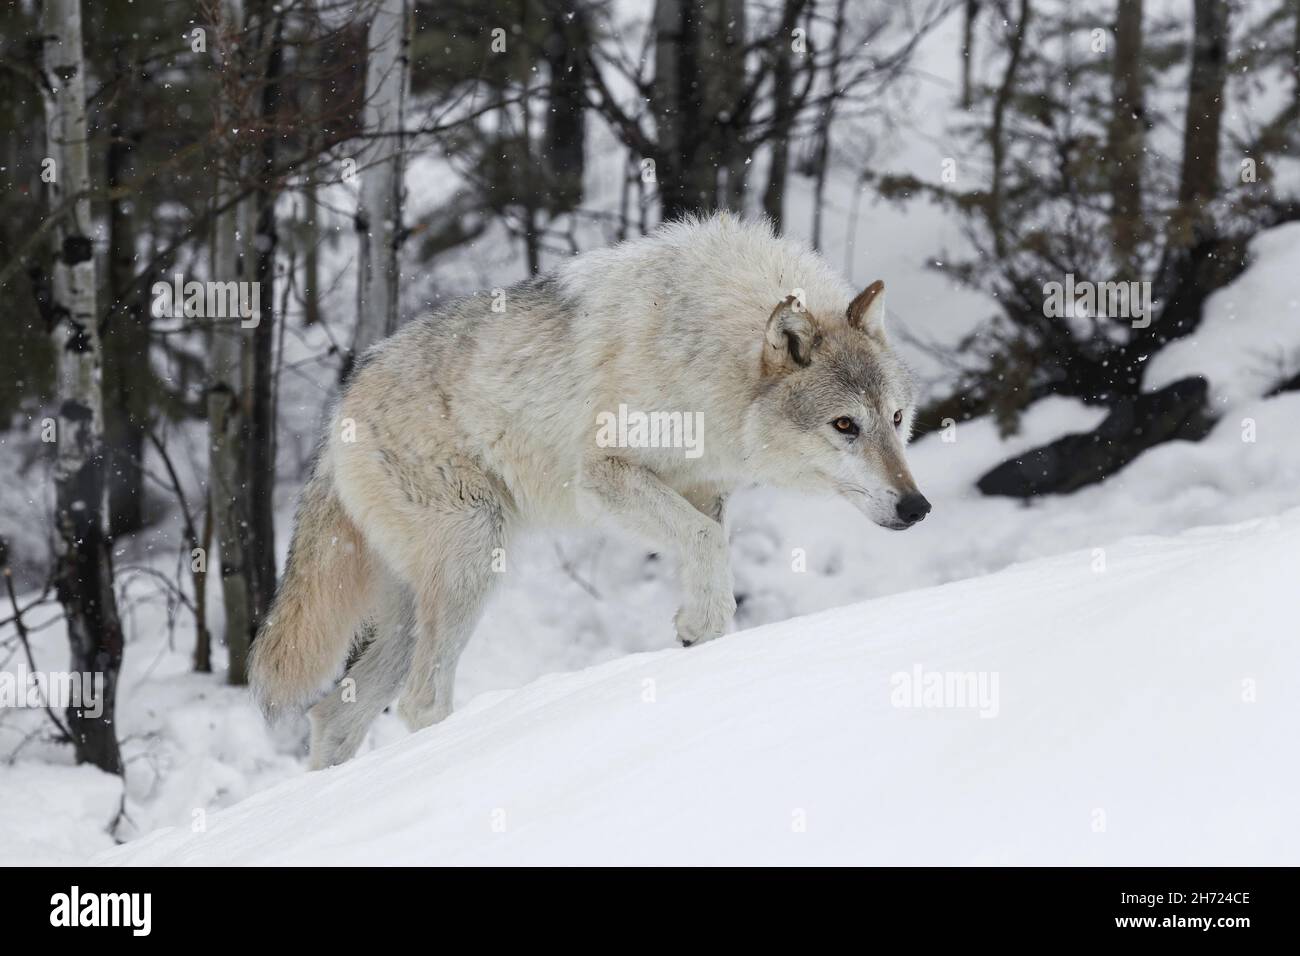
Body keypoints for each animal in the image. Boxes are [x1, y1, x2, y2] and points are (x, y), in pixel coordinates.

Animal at [250, 214, 931, 768]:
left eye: (897, 419)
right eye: (845, 426)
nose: (918, 506)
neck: (707, 356)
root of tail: (340, 407)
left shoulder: (703, 489)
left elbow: (707, 549)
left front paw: (698, 630)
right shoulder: (604, 476)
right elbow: (705, 541)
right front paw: (705, 622)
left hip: (409, 609)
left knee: (334, 714)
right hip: (475, 555)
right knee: (421, 702)